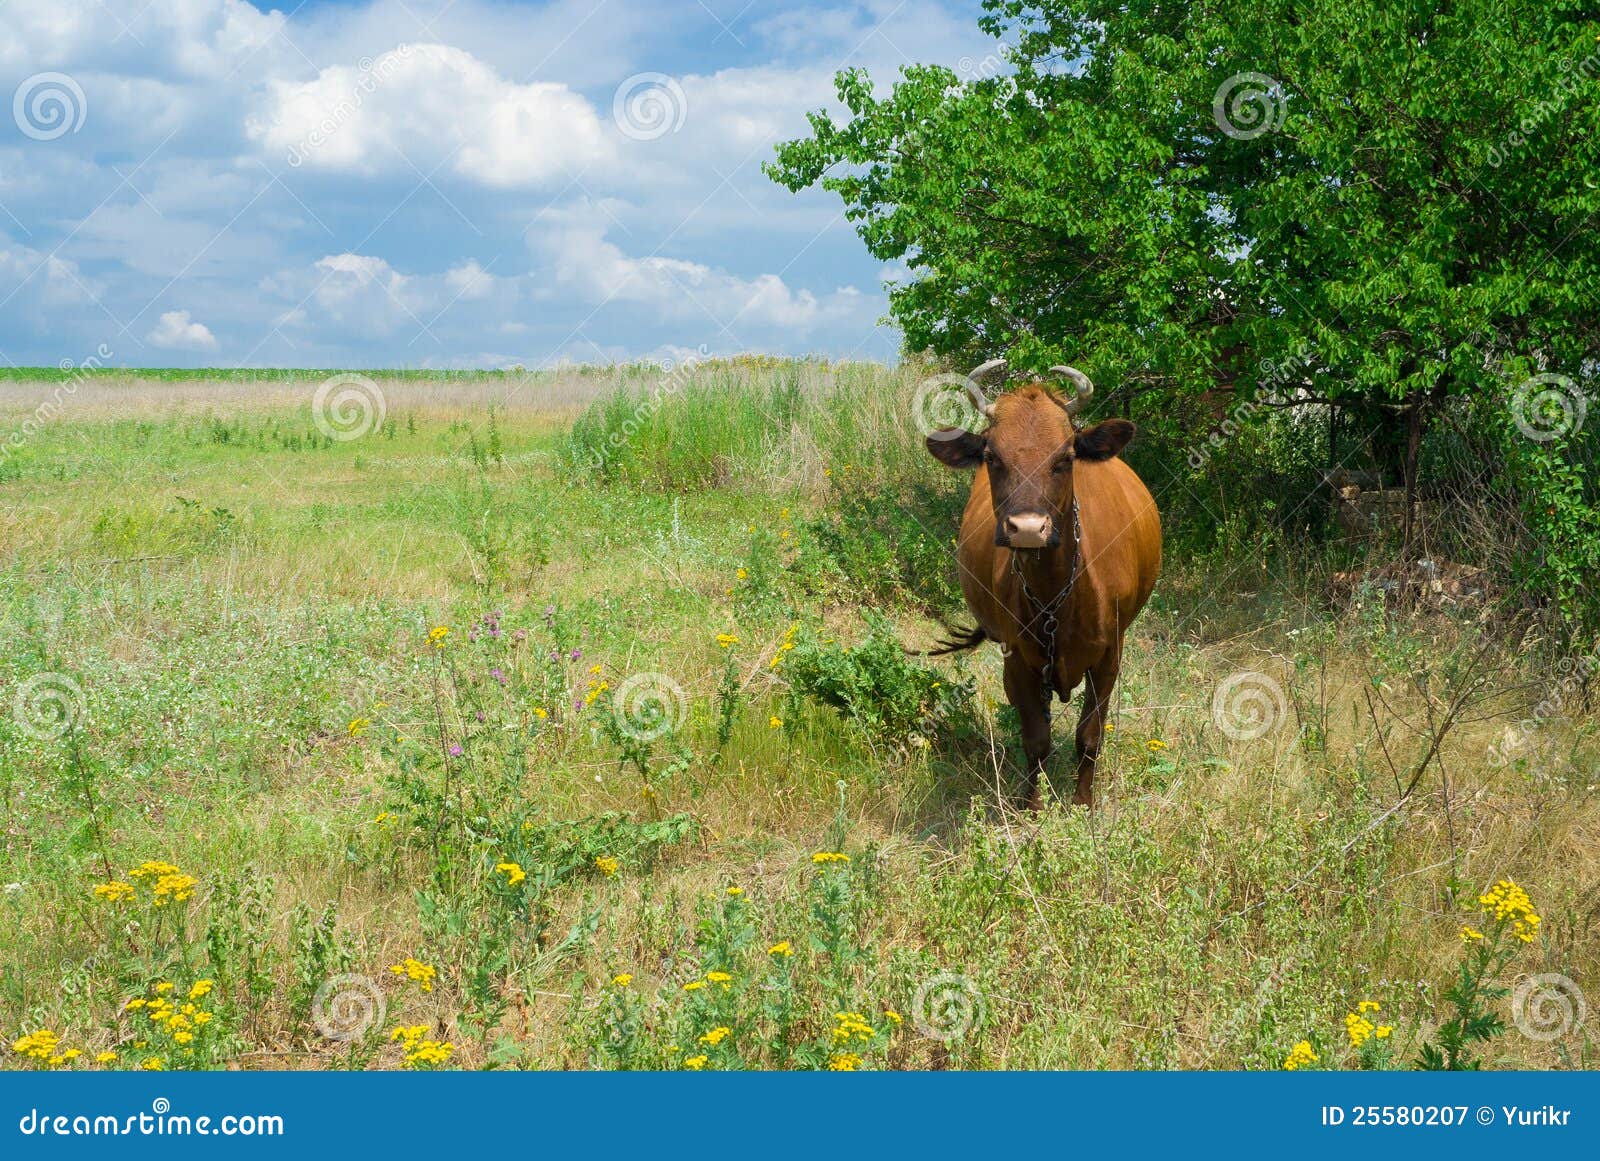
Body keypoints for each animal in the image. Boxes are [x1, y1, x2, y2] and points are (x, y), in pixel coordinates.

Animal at [926, 360, 1162, 810]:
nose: (1028, 528)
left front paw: (1083, 803)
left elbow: (1089, 735)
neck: (1057, 595)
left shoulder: (1110, 656)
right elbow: (1035, 738)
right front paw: (1031, 807)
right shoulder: (1017, 660)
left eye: (1065, 457)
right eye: (991, 456)